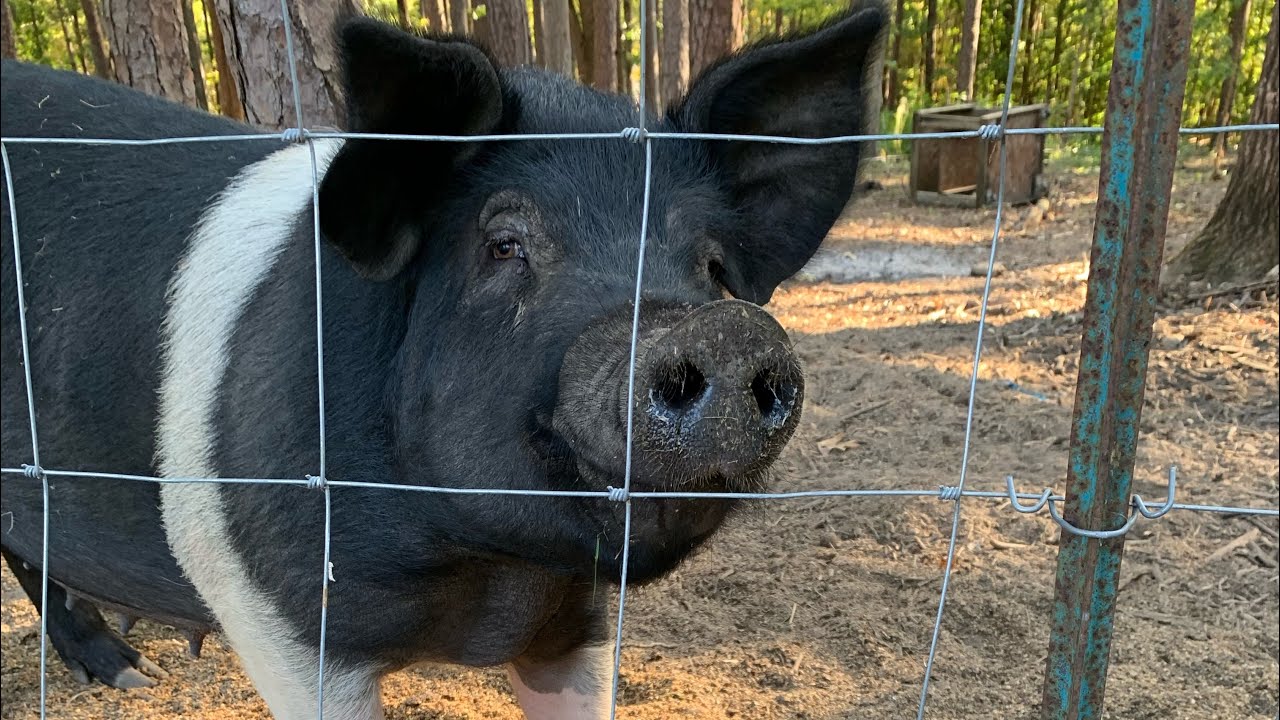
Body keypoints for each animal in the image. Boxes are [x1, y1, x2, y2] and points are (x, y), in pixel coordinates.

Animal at [1, 6, 885, 719]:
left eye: (711, 267)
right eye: (504, 245)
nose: (725, 329)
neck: (489, 574)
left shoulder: (577, 626)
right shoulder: (281, 619)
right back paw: (127, 673)